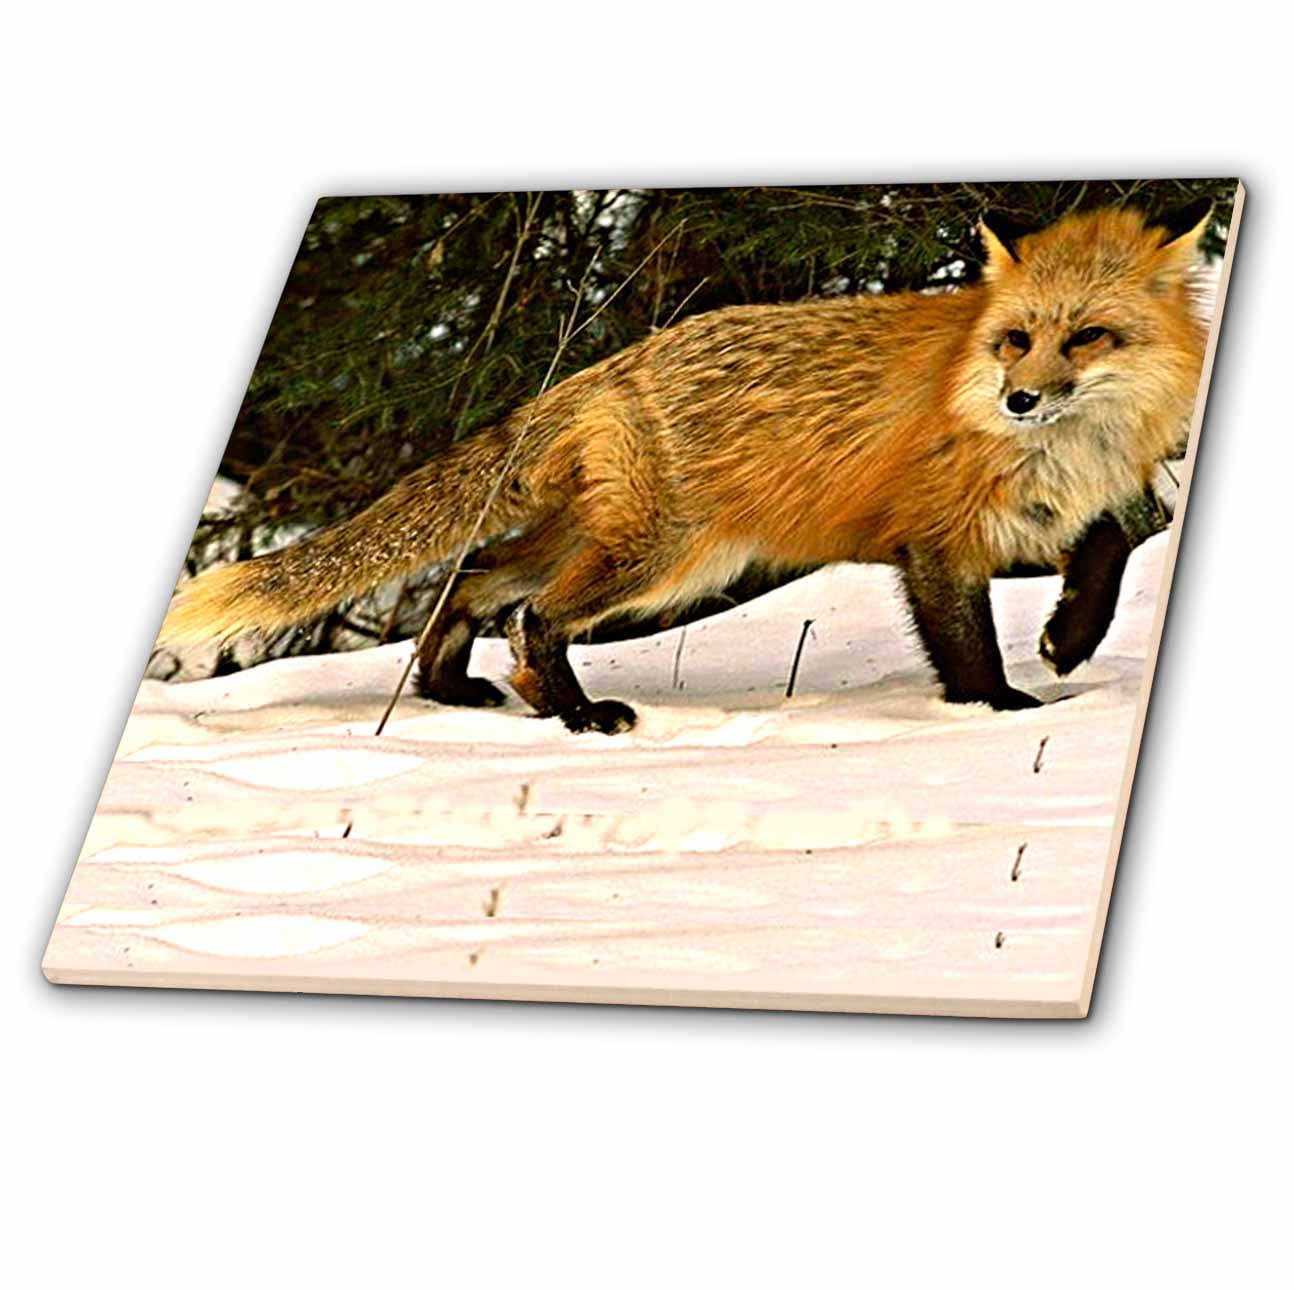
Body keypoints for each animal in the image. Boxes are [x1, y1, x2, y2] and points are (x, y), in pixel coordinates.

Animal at [158, 200, 1213, 734]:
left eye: (1087, 337)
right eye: (1015, 340)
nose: (1019, 400)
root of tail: (607, 366)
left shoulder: (1061, 511)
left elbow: (1113, 546)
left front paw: (1069, 640)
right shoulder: (935, 542)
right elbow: (968, 646)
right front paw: (998, 709)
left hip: (632, 550)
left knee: (474, 579)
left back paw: (454, 693)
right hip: (661, 561)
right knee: (531, 617)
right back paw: (578, 715)